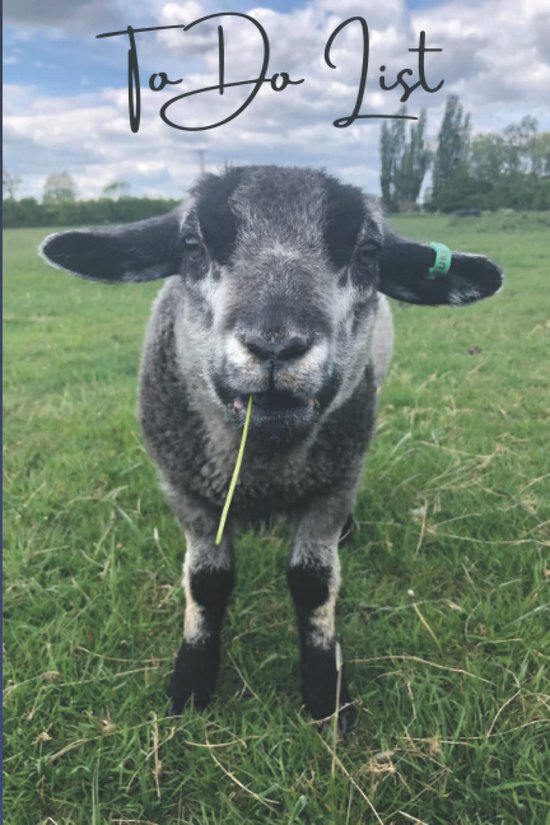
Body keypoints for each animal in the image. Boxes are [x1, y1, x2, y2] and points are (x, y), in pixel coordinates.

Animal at [41, 165, 503, 732]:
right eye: (192, 245)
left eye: (368, 252)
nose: (275, 346)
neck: (264, 462)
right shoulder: (184, 488)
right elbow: (207, 582)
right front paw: (191, 685)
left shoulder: (333, 483)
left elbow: (313, 582)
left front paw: (326, 696)